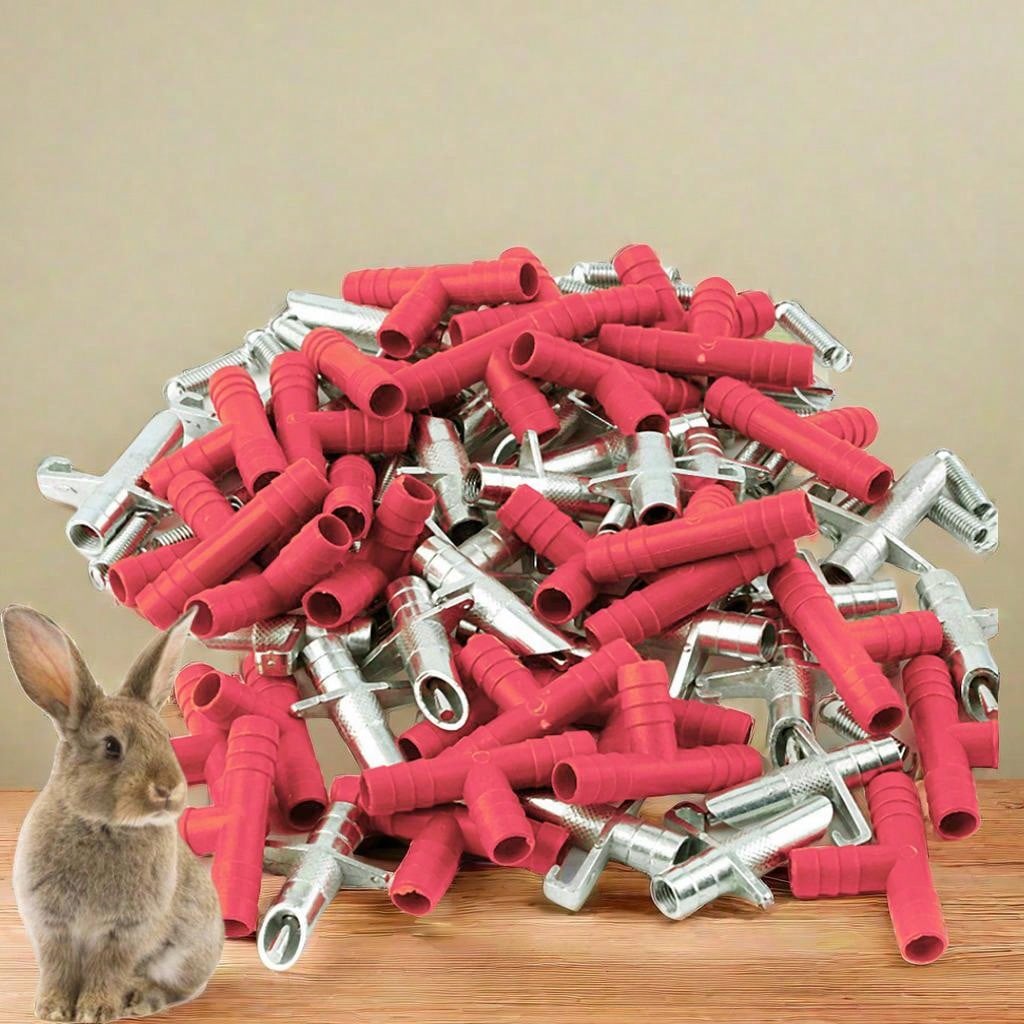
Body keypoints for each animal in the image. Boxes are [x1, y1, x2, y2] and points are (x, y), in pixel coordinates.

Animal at [2, 606, 224, 1023]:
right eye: (111, 746)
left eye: (166, 738)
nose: (168, 790)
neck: (102, 824)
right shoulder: (51, 926)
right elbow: (57, 967)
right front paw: (53, 1009)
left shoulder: (124, 932)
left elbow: (107, 969)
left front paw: (95, 1010)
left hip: (184, 956)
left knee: (176, 988)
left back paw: (139, 999)